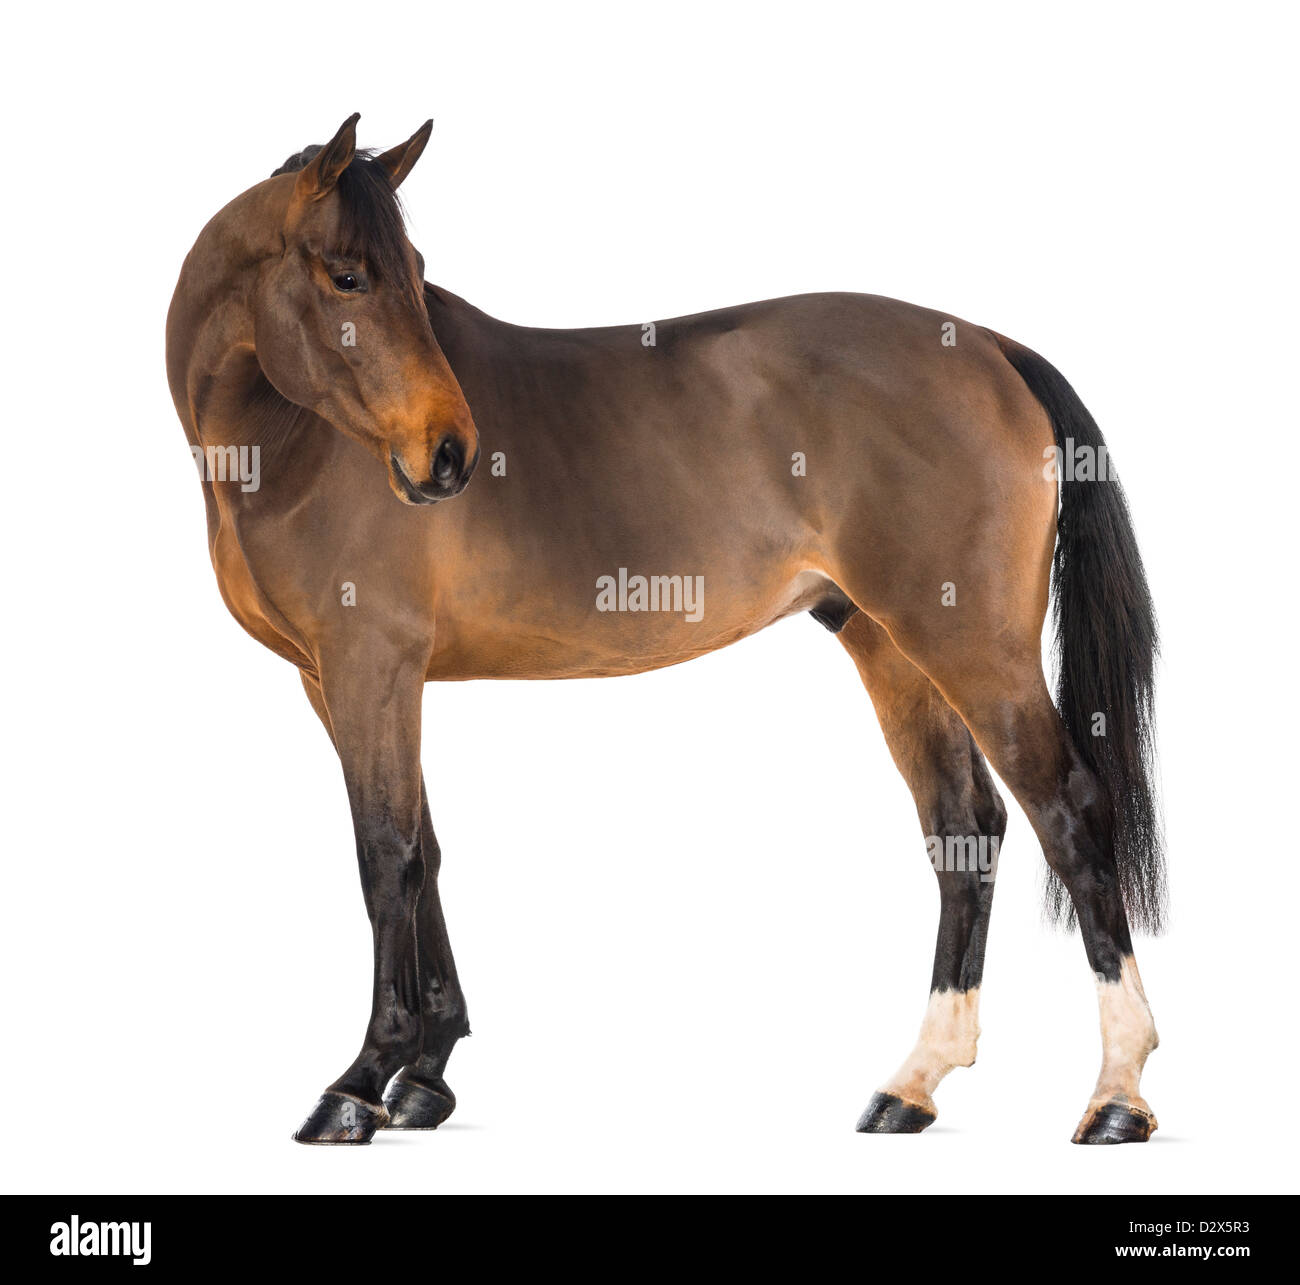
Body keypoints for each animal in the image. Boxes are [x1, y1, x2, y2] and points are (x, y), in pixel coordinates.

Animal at [166, 115, 1164, 1146]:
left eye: (411, 271)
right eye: (349, 276)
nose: (448, 455)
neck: (291, 446)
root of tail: (993, 347)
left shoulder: (370, 668)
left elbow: (386, 859)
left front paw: (362, 1081)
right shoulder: (340, 681)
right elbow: (426, 851)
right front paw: (427, 1075)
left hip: (974, 651)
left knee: (1070, 813)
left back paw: (1116, 1093)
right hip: (892, 649)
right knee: (964, 831)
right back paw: (912, 1085)